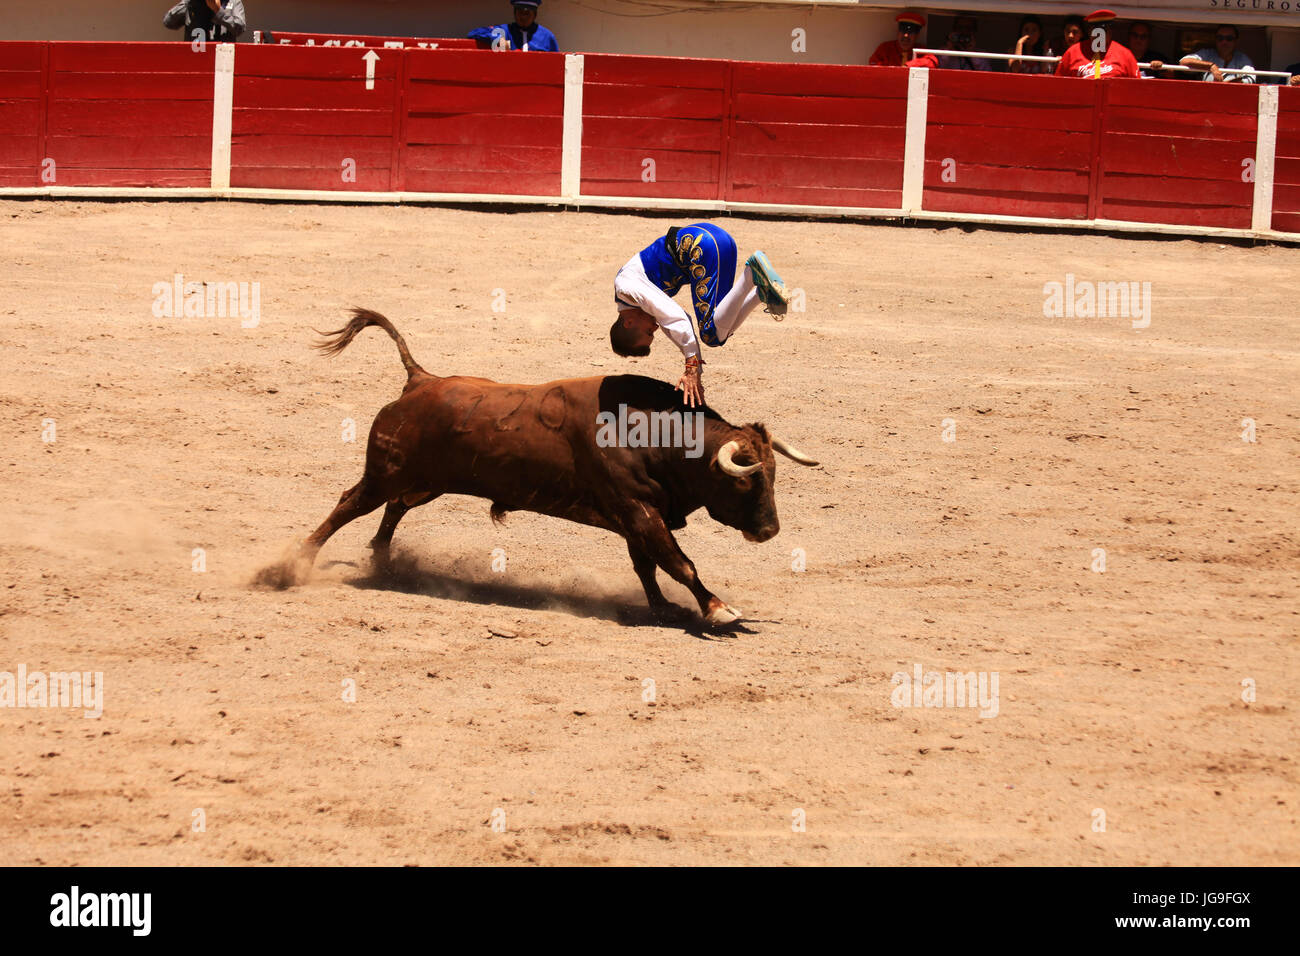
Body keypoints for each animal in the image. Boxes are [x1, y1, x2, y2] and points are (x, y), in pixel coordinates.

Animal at [278, 309, 818, 627]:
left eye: (774, 475)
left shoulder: (635, 517)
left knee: (393, 508)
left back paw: (382, 560)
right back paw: (291, 566)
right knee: (349, 505)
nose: (769, 531)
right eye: (747, 480)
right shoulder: (640, 511)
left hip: (425, 481)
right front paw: (718, 608)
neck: (656, 433)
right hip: (386, 472)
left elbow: (647, 564)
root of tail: (420, 380)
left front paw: (662, 605)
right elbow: (678, 561)